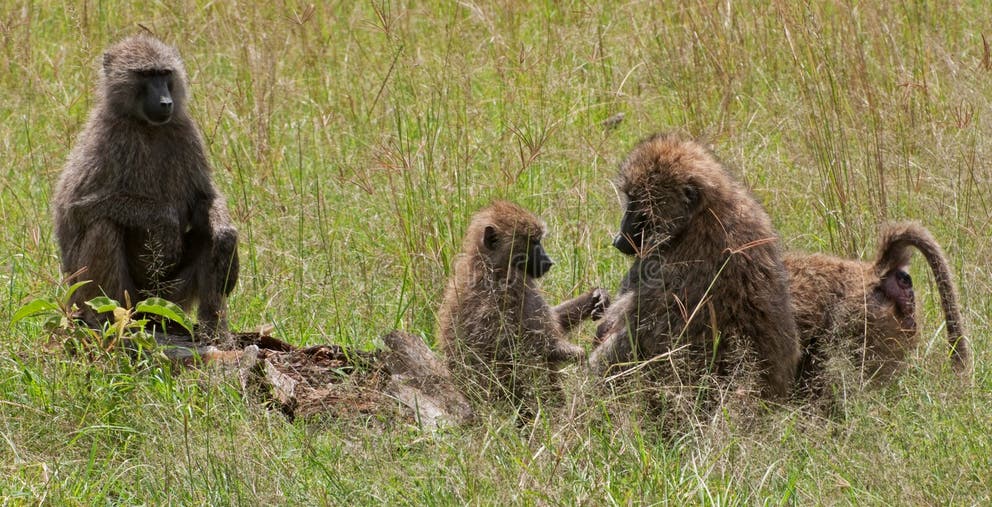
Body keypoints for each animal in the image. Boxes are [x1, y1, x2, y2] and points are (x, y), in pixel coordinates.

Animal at [52, 35, 239, 342]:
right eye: (146, 75)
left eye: (164, 74)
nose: (165, 102)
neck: (147, 126)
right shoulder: (108, 137)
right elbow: (75, 207)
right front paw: (165, 220)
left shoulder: (185, 132)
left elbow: (205, 200)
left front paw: (228, 238)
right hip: (94, 294)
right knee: (104, 226)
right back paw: (106, 321)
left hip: (168, 299)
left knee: (207, 237)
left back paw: (215, 334)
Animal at [437, 200, 609, 411]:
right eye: (534, 242)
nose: (549, 262)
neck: (489, 263)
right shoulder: (512, 287)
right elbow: (519, 346)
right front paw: (580, 355)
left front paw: (595, 298)